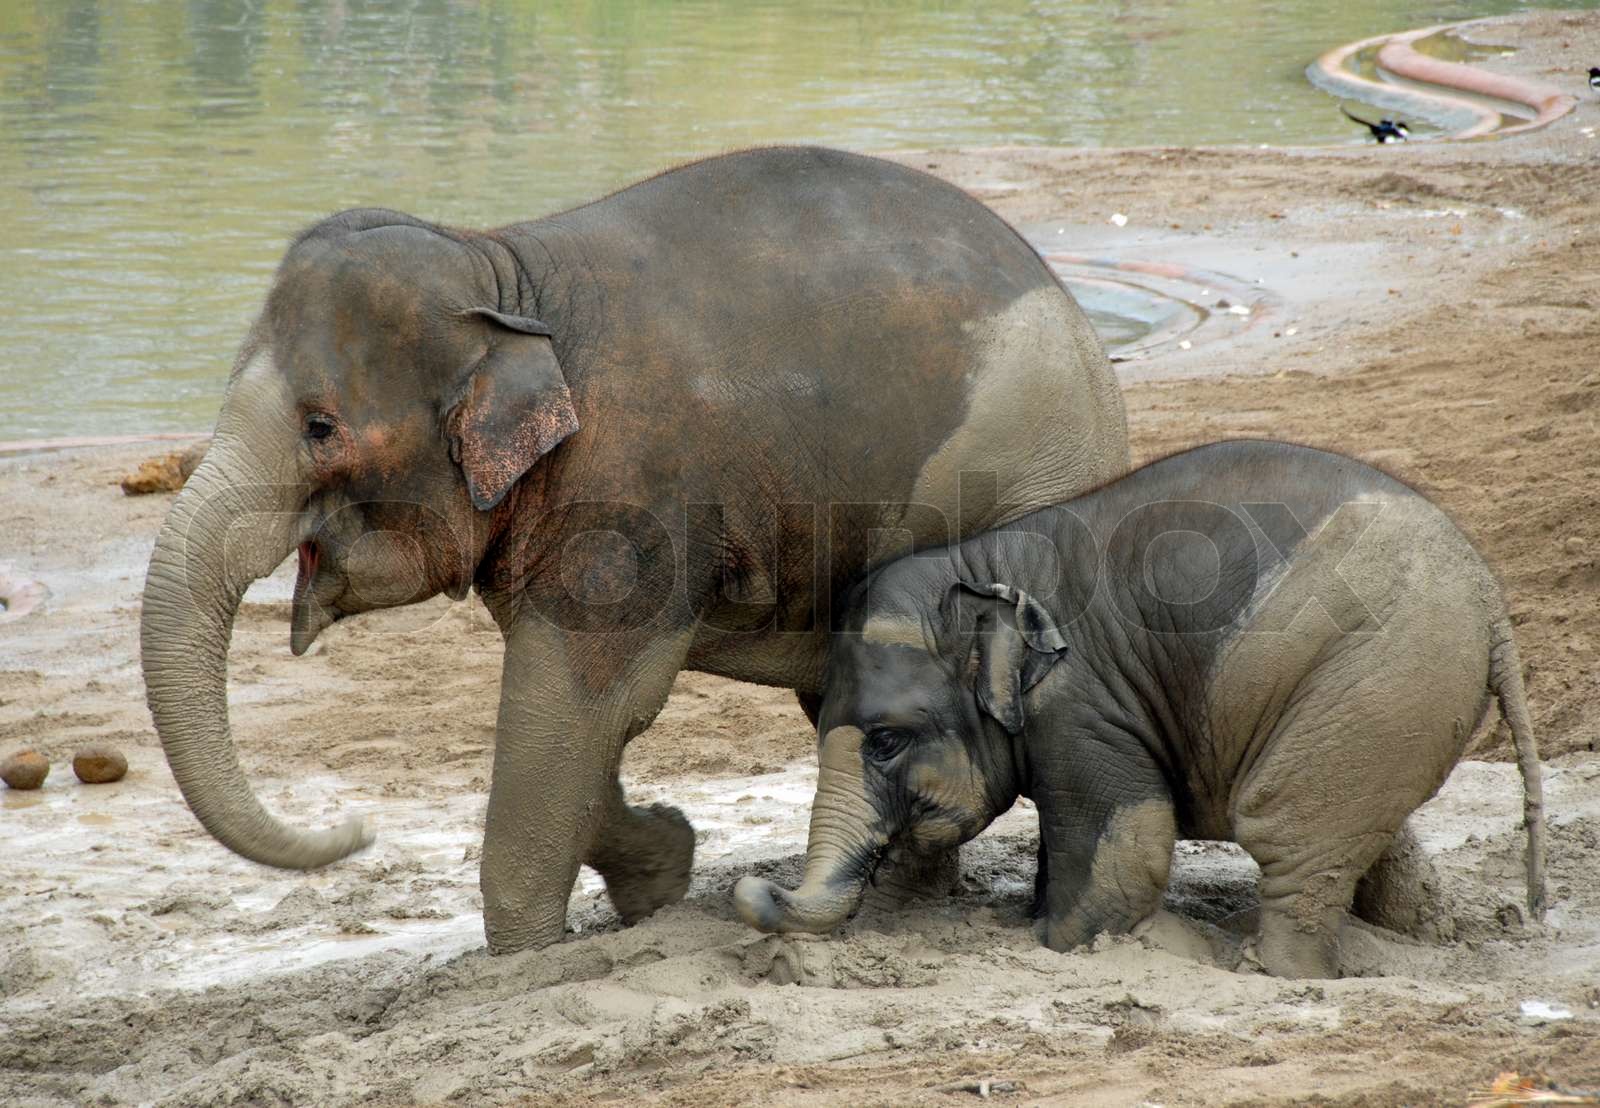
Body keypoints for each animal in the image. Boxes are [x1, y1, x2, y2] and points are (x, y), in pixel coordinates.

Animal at [139, 145, 1130, 954]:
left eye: (320, 428)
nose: (359, 827)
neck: (502, 271)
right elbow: (579, 722)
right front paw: (662, 869)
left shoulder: (629, 497)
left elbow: (577, 704)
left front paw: (527, 960)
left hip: (1021, 478)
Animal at [734, 439, 1547, 978]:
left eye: (886, 741)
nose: (758, 885)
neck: (984, 564)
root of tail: (1491, 602)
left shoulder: (1082, 704)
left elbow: (1128, 850)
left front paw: (1061, 943)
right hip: (1386, 700)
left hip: (1378, 673)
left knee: (1287, 834)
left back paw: (1274, 972)